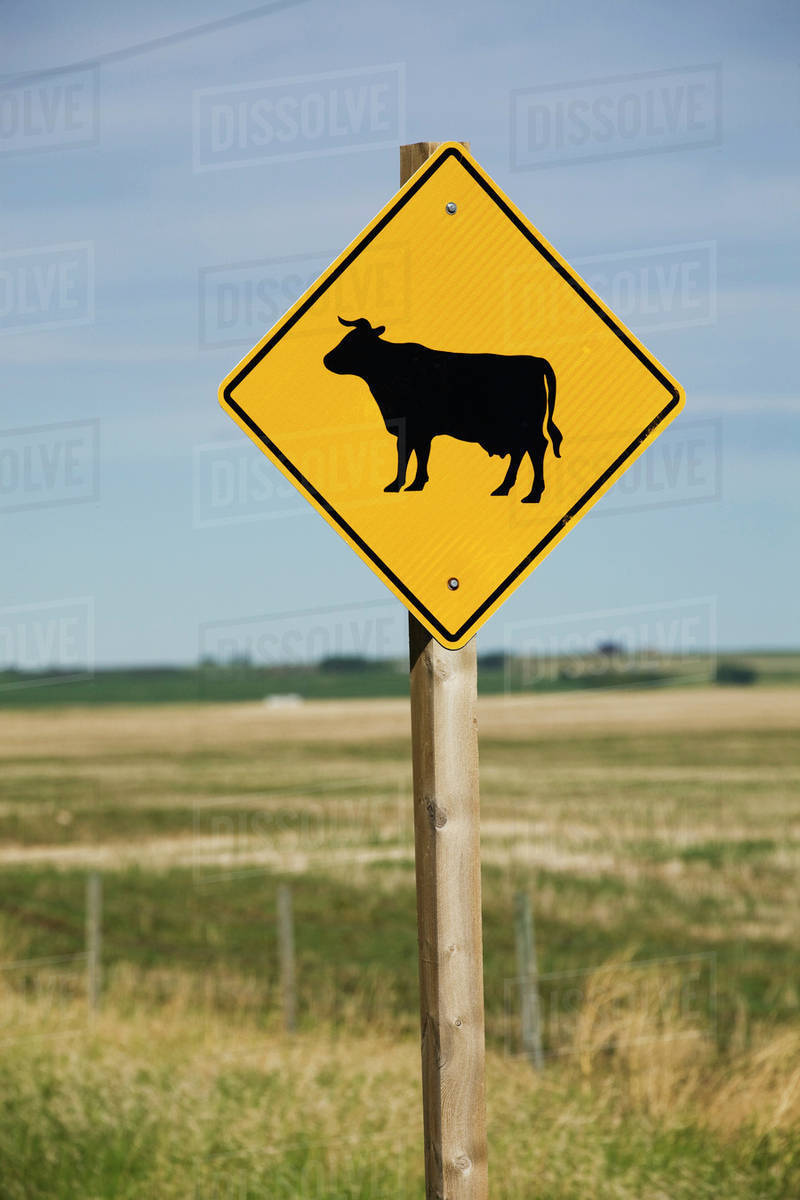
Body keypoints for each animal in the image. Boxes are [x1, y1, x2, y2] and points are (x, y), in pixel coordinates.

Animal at [323, 317, 562, 503]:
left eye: (352, 341)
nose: (326, 359)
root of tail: (535, 360)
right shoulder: (420, 431)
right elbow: (421, 454)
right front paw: (416, 484)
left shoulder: (409, 427)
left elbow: (405, 454)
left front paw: (397, 485)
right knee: (520, 451)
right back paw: (503, 488)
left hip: (526, 426)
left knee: (537, 447)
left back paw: (533, 494)